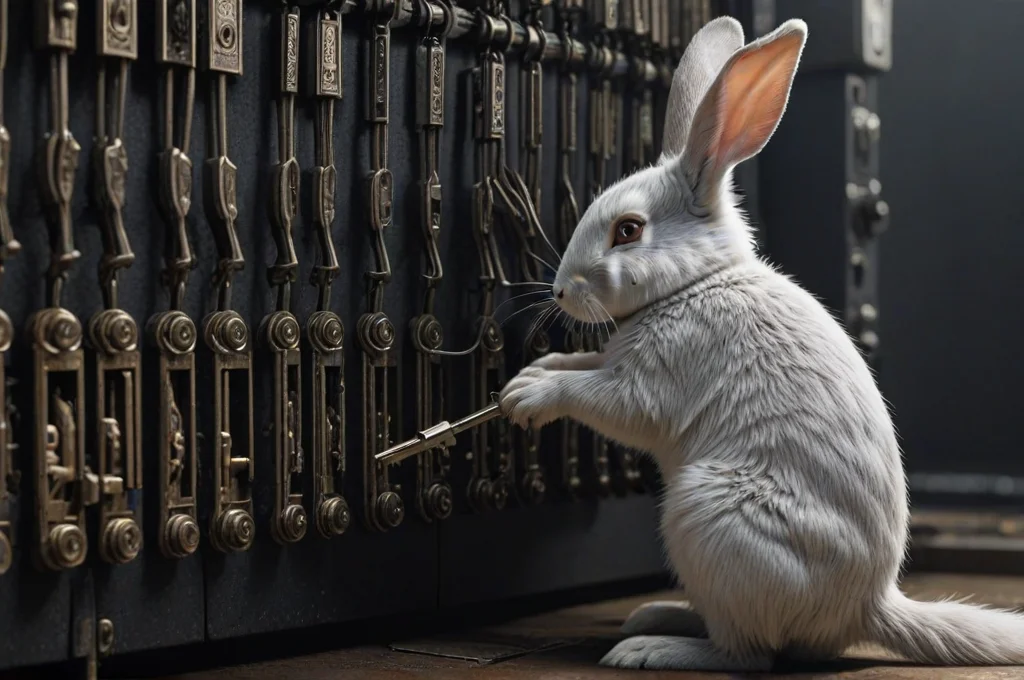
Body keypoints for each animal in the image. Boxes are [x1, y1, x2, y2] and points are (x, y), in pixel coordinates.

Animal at [498, 15, 1024, 672]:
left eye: (628, 230)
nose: (562, 292)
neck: (696, 284)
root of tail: (867, 609)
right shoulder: (614, 359)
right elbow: (584, 361)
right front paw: (533, 373)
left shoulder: (648, 385)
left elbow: (603, 398)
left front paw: (531, 398)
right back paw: (655, 616)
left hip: (705, 515)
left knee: (747, 654)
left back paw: (648, 646)